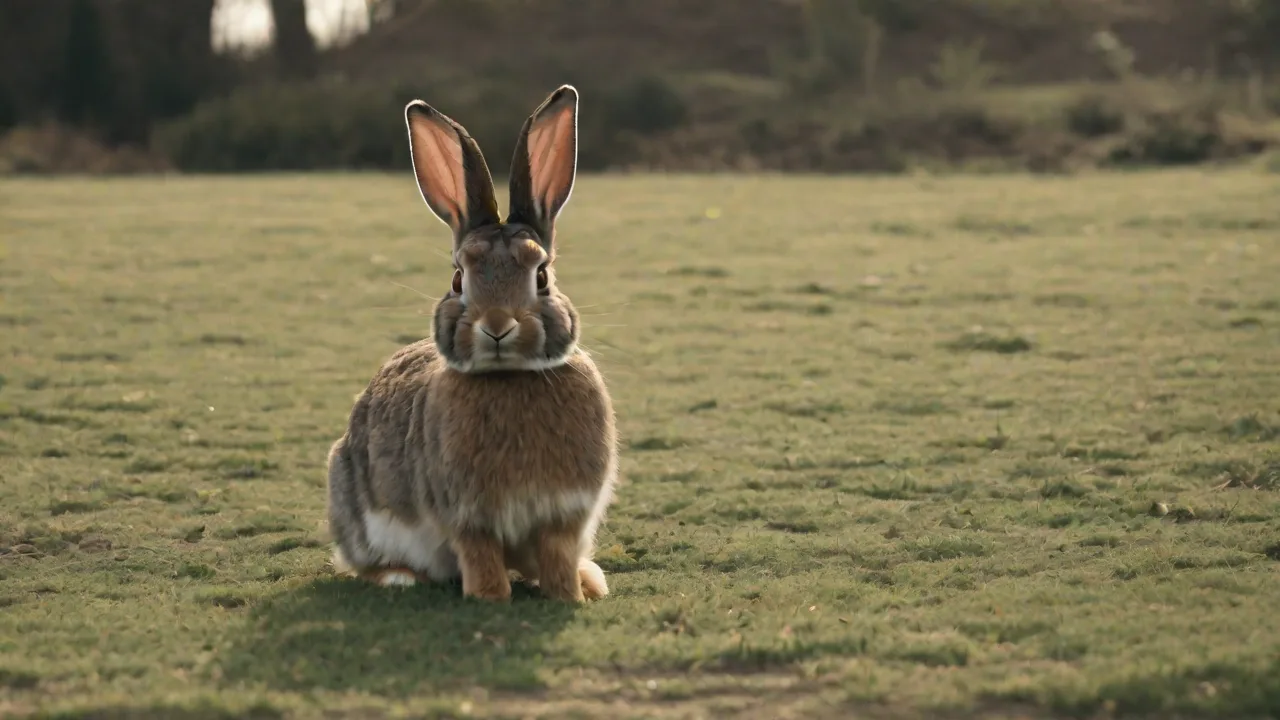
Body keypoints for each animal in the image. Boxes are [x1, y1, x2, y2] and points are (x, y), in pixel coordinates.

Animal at [325, 85, 617, 603]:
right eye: (458, 278)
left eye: (542, 276)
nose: (496, 324)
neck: (510, 377)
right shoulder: (467, 518)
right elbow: (481, 560)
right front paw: (490, 599)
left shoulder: (562, 517)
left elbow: (558, 559)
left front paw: (572, 595)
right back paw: (400, 577)